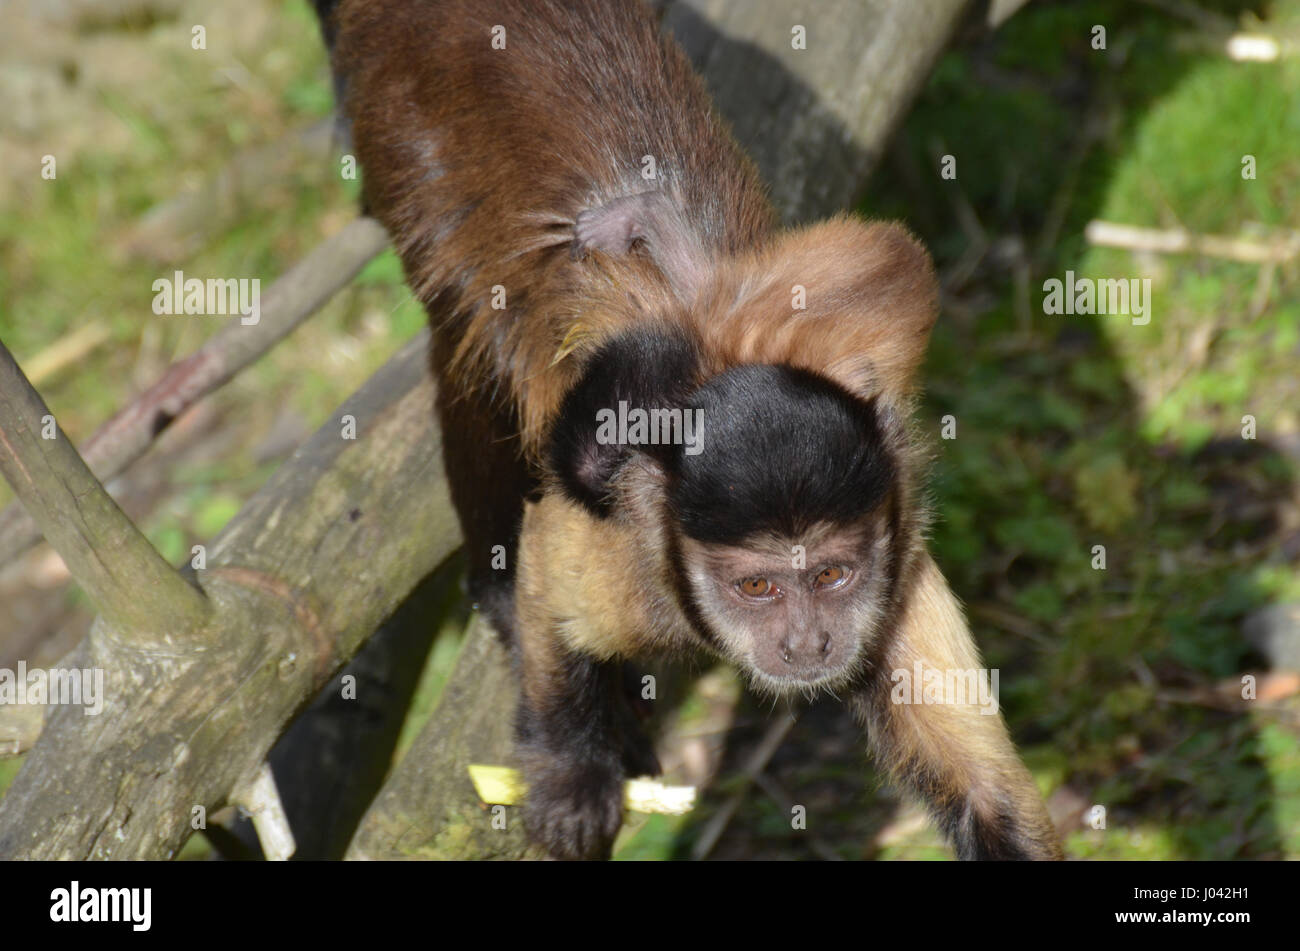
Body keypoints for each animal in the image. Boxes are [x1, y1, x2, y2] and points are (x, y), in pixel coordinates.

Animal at [314, 0, 1063, 860]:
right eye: (758, 586)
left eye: (833, 575)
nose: (807, 645)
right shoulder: (630, 560)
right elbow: (549, 592)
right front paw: (572, 764)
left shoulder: (896, 571)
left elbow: (988, 798)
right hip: (402, 130)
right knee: (473, 338)